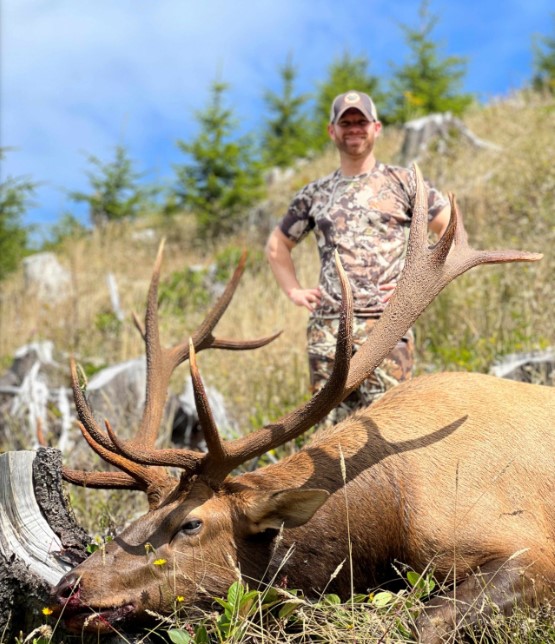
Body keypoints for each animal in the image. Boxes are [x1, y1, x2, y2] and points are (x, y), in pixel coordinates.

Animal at [51, 164, 548, 643]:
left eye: (191, 524)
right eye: (142, 514)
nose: (67, 587)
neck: (392, 514)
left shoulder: (534, 549)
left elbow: (424, 621)